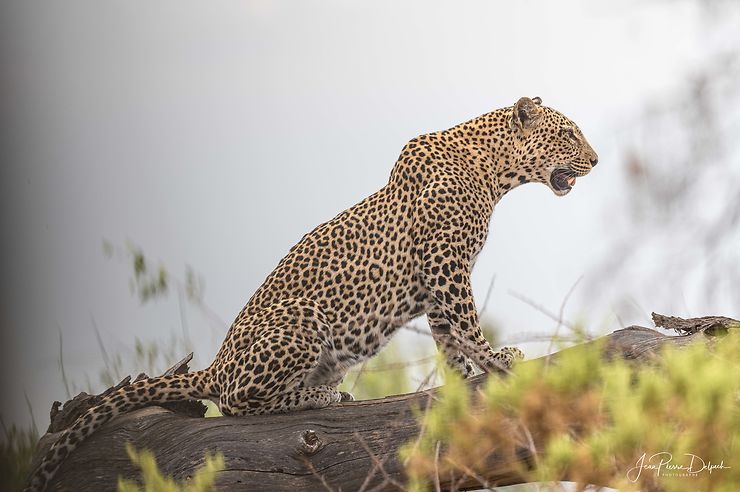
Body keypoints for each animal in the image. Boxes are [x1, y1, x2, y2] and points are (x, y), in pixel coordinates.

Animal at [26, 96, 598, 491]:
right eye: (569, 134)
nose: (595, 160)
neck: (494, 170)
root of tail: (215, 364)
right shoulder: (446, 267)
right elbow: (468, 325)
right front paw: (499, 358)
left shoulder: (440, 282)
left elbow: (449, 339)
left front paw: (463, 383)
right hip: (300, 320)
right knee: (235, 403)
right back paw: (319, 396)